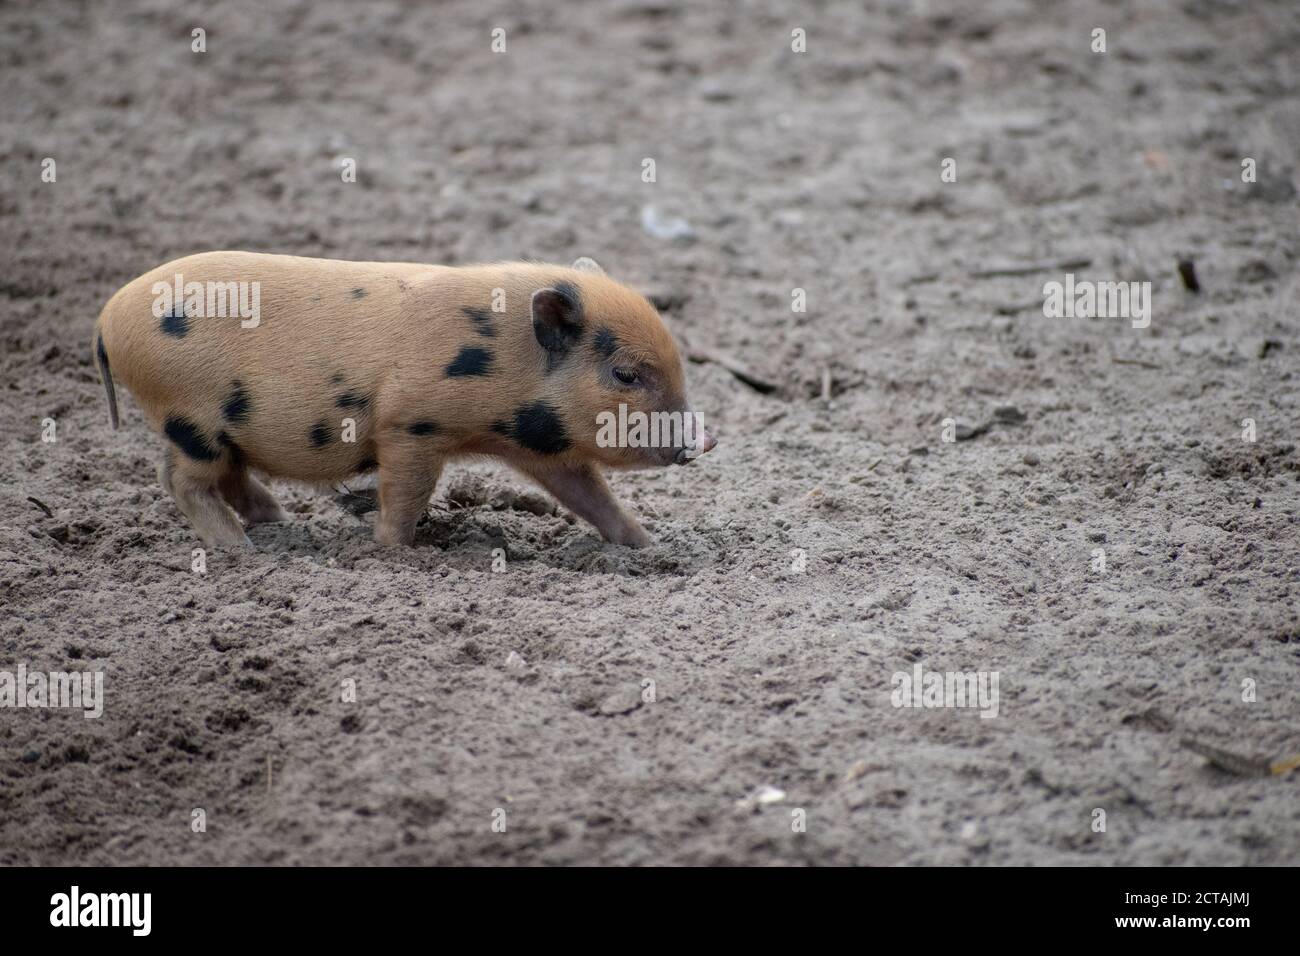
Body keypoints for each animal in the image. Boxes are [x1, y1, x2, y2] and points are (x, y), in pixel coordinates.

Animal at [92, 252, 716, 549]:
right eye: (625, 373)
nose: (706, 438)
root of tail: (106, 318)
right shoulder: (410, 423)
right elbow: (408, 492)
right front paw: (393, 550)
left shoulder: (542, 445)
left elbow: (593, 496)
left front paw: (648, 546)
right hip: (189, 418)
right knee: (179, 480)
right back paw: (242, 549)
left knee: (226, 476)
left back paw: (279, 521)